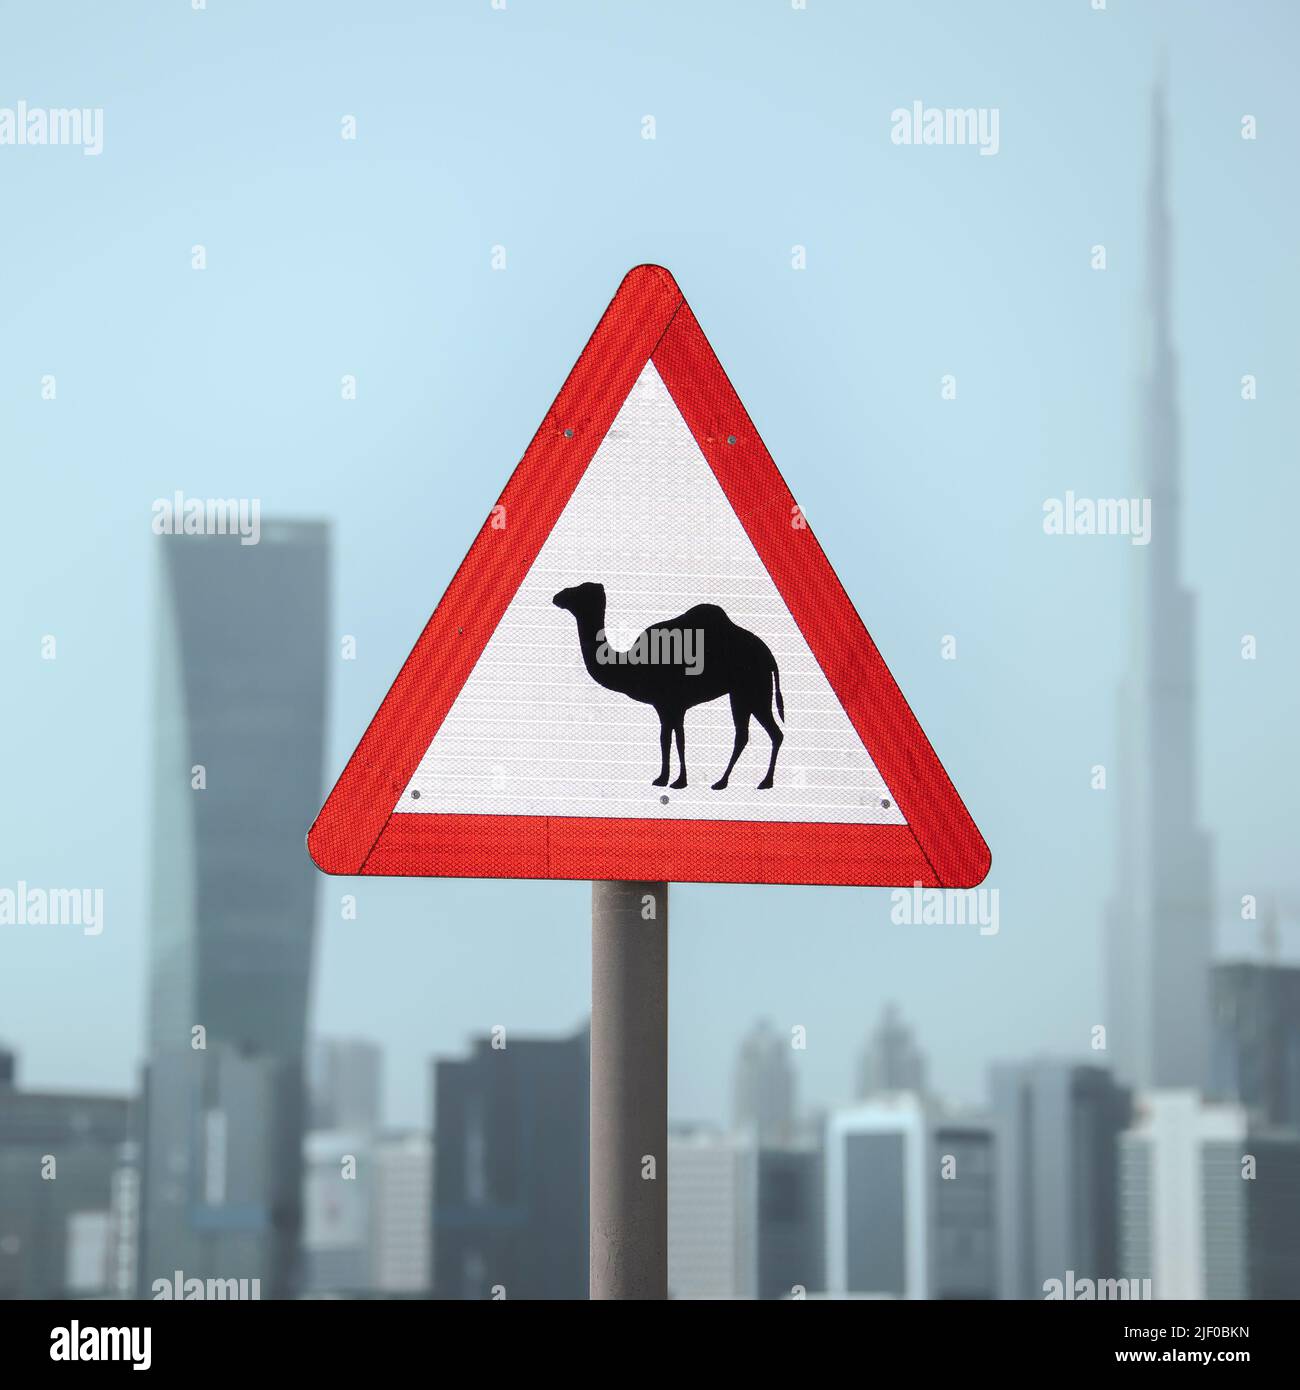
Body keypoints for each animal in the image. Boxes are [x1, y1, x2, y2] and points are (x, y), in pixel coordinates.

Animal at [552, 582, 784, 791]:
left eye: (581, 591)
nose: (557, 596)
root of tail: (770, 657)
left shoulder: (674, 703)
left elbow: (677, 739)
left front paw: (678, 781)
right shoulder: (664, 706)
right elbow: (667, 739)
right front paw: (663, 779)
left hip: (752, 689)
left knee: (762, 733)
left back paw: (756, 782)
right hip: (742, 692)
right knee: (753, 734)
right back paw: (730, 781)